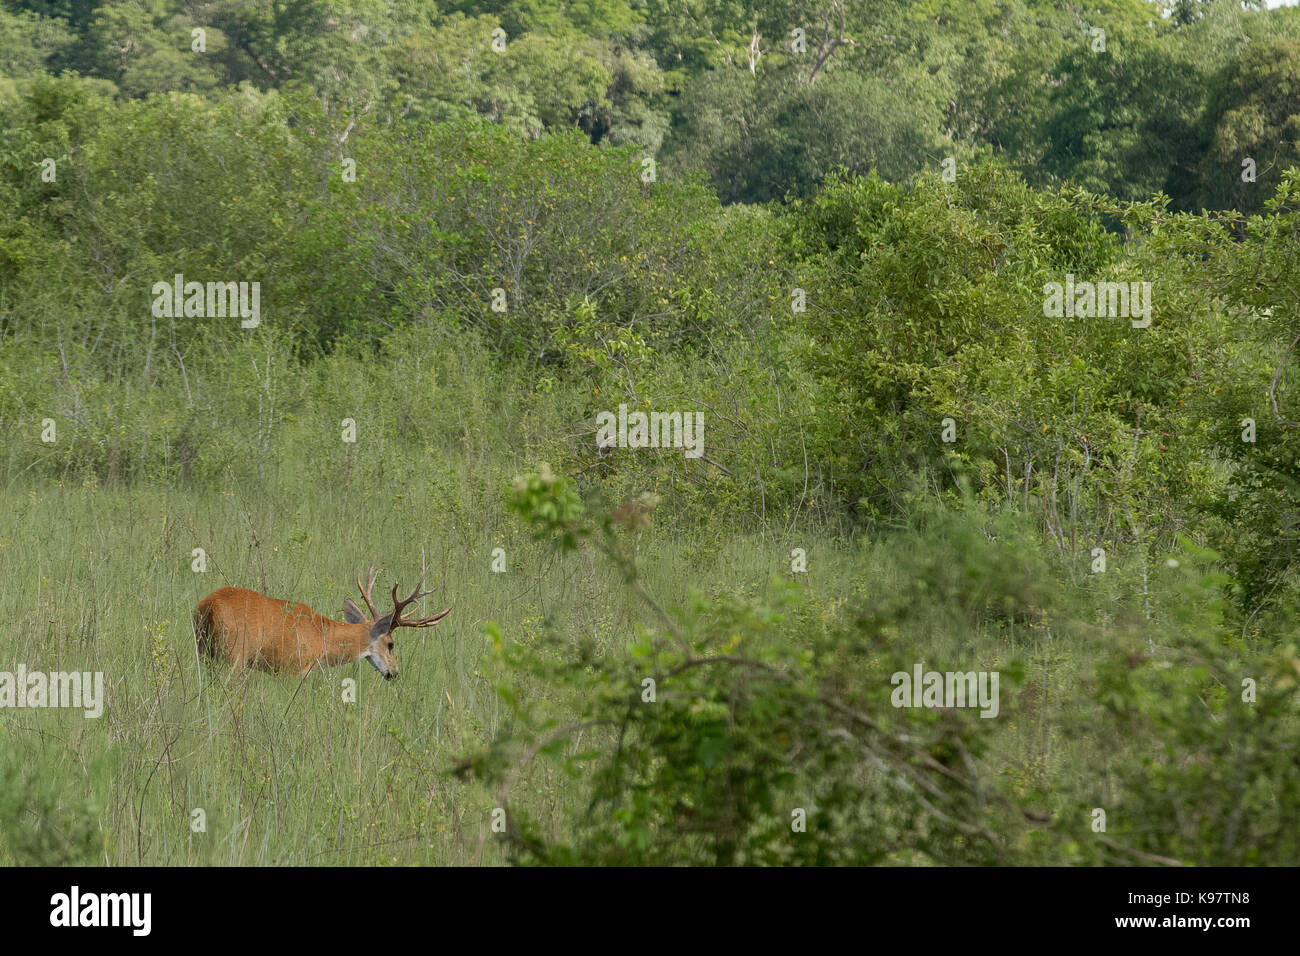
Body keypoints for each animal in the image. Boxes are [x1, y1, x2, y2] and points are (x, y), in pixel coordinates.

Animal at [193, 565, 451, 680]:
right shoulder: (293, 668)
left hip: (205, 651)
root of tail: (208, 607)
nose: (394, 672)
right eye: (391, 644)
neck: (322, 637)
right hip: (233, 655)